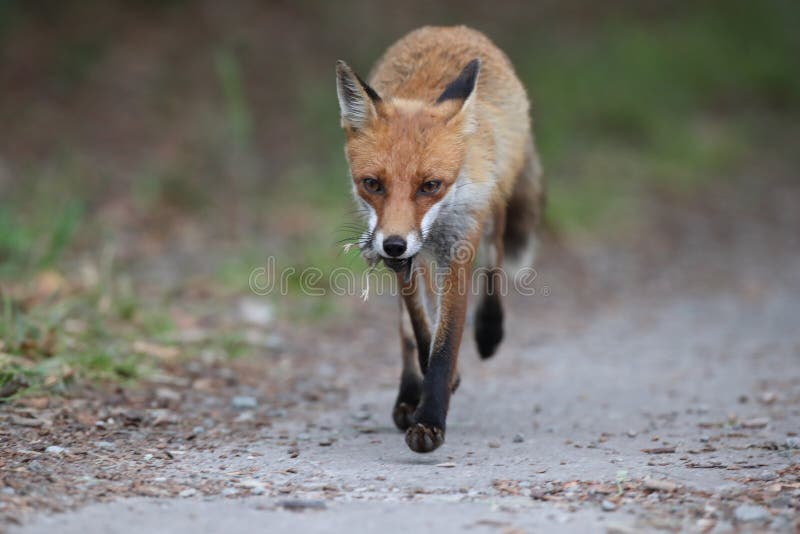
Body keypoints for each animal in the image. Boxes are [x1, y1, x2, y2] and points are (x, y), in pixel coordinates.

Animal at [336, 26, 544, 453]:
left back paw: (489, 329)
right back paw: (406, 394)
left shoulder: (459, 246)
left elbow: (445, 343)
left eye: (430, 185)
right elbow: (420, 327)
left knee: (495, 259)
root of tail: (449, 29)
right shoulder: (402, 257)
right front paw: (427, 390)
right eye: (372, 184)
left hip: (494, 208)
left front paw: (430, 419)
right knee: (405, 328)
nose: (394, 245)